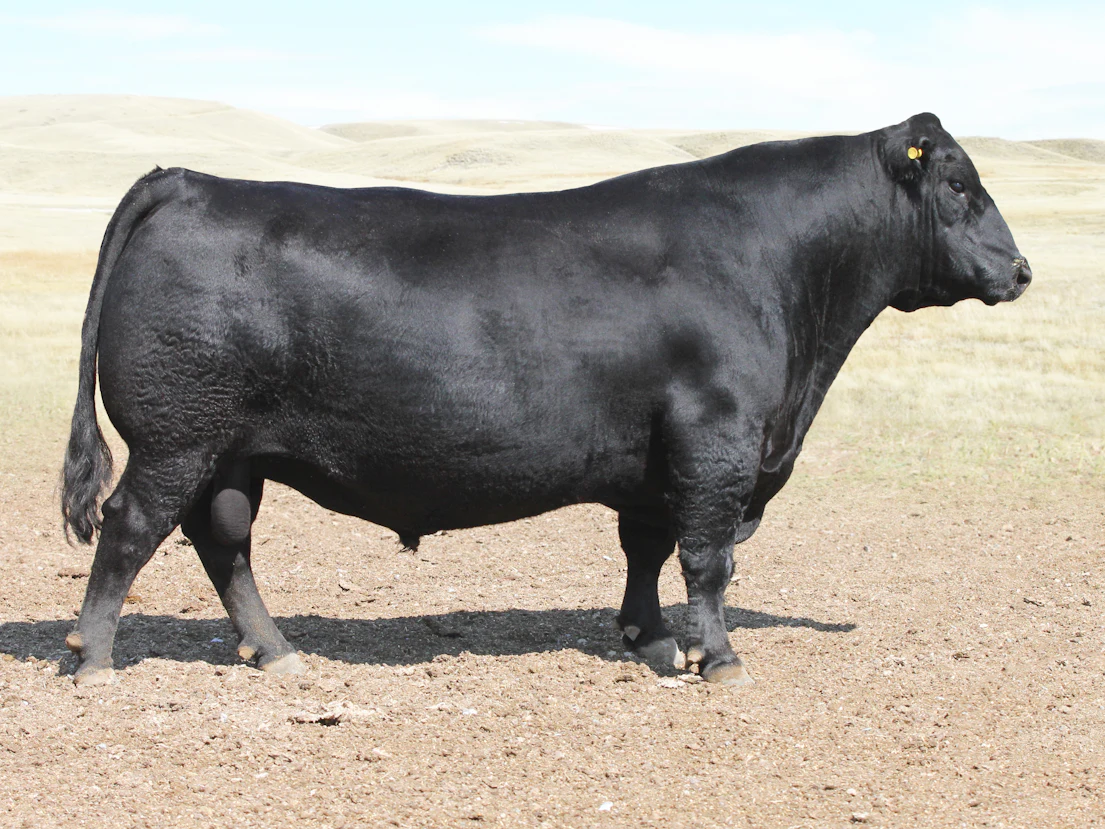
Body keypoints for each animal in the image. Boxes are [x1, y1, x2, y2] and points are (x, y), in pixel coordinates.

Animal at [60, 113, 1030, 687]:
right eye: (957, 184)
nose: (1020, 270)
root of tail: (189, 180)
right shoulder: (716, 440)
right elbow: (707, 558)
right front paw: (717, 656)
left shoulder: (655, 459)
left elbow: (645, 549)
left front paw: (650, 637)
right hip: (176, 437)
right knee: (132, 525)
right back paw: (96, 658)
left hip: (230, 451)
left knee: (222, 541)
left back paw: (277, 651)